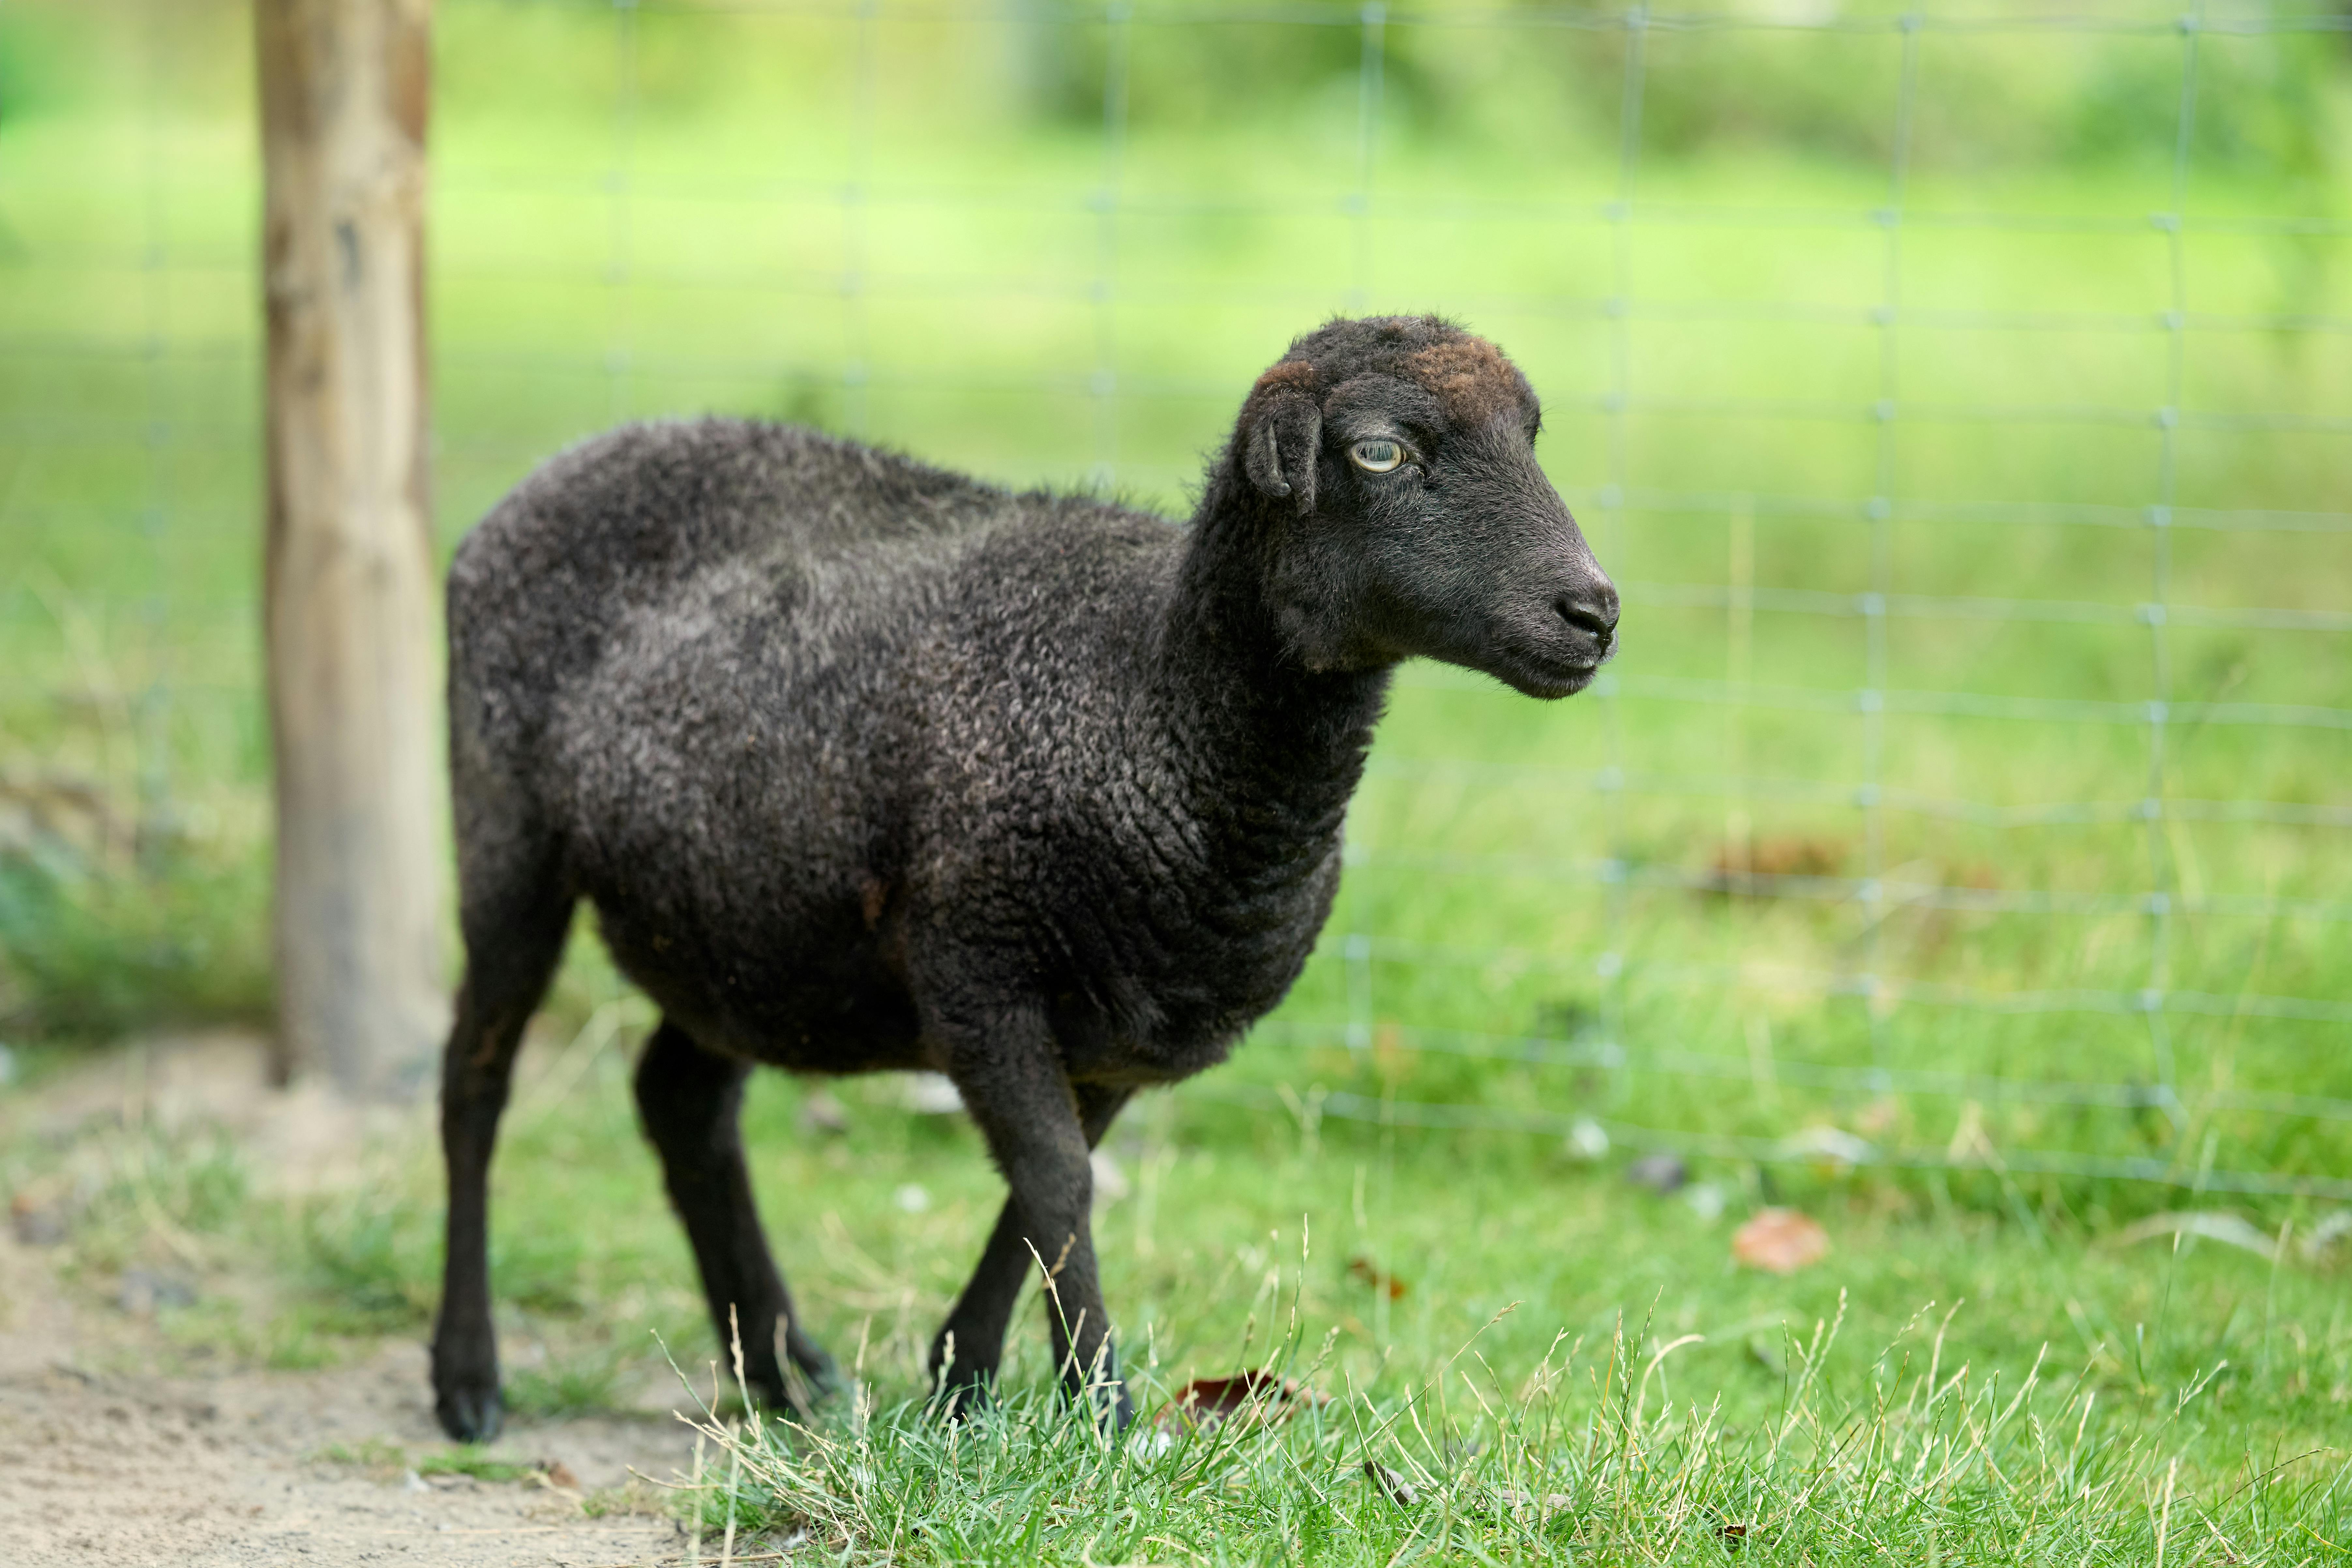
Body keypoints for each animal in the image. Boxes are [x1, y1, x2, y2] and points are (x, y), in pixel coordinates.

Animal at [427, 314, 1619, 1441]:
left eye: (1530, 434)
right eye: (1379, 450)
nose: (1594, 614)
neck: (1151, 705)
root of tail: (567, 462)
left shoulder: (1126, 1025)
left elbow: (1047, 1188)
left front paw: (964, 1380)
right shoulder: (977, 973)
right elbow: (1055, 1180)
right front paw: (1100, 1409)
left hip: (745, 927)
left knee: (681, 1101)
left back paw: (780, 1368)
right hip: (509, 838)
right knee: (476, 1084)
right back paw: (469, 1380)